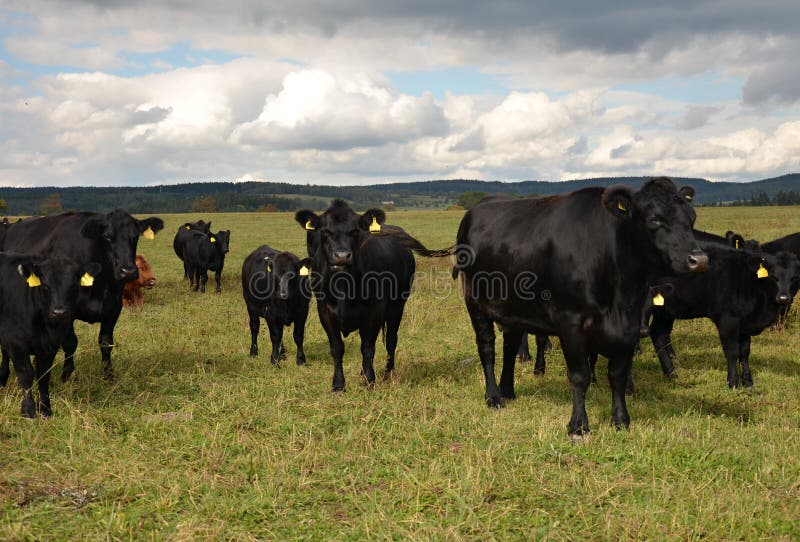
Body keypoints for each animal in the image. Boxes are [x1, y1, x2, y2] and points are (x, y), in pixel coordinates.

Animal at [0, 254, 101, 417]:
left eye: (73, 286)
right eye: (45, 286)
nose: (59, 312)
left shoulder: (50, 345)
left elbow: (43, 375)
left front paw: (45, 409)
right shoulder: (16, 342)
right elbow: (26, 375)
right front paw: (28, 410)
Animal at [2, 210, 164, 381]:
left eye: (135, 236)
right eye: (108, 236)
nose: (128, 271)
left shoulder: (114, 307)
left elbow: (106, 342)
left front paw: (108, 375)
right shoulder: (66, 310)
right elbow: (70, 343)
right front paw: (66, 375)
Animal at [295, 200, 425, 391]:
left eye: (355, 231)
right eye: (325, 232)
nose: (341, 256)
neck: (343, 286)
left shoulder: (374, 311)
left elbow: (368, 347)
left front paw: (370, 380)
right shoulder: (324, 311)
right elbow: (337, 348)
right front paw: (338, 385)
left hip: (398, 306)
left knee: (391, 340)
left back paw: (387, 374)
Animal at [451, 177, 706, 435]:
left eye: (692, 218)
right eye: (654, 219)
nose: (699, 260)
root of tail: (475, 210)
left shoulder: (630, 326)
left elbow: (618, 375)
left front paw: (621, 420)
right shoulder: (570, 322)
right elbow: (579, 375)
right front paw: (578, 425)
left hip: (514, 310)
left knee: (511, 347)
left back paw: (508, 391)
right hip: (475, 304)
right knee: (487, 349)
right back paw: (493, 396)